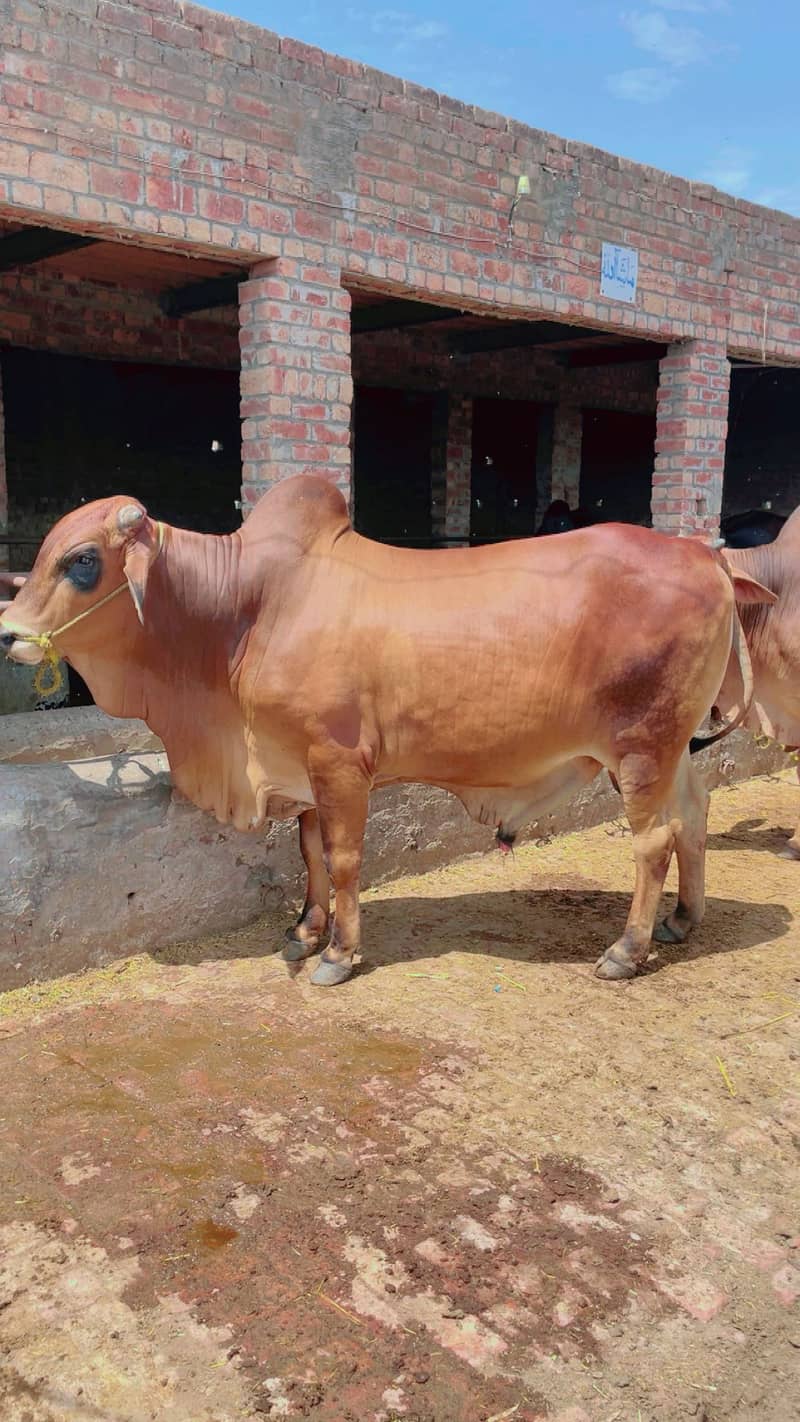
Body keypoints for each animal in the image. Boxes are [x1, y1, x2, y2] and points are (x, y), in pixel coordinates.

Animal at [0, 476, 773, 985]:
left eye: (81, 560)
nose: (9, 633)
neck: (243, 612)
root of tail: (705, 556)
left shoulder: (341, 763)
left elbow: (343, 859)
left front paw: (338, 955)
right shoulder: (300, 767)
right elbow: (309, 854)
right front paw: (303, 932)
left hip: (640, 748)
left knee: (653, 841)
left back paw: (625, 951)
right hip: (671, 750)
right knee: (695, 813)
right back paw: (683, 920)